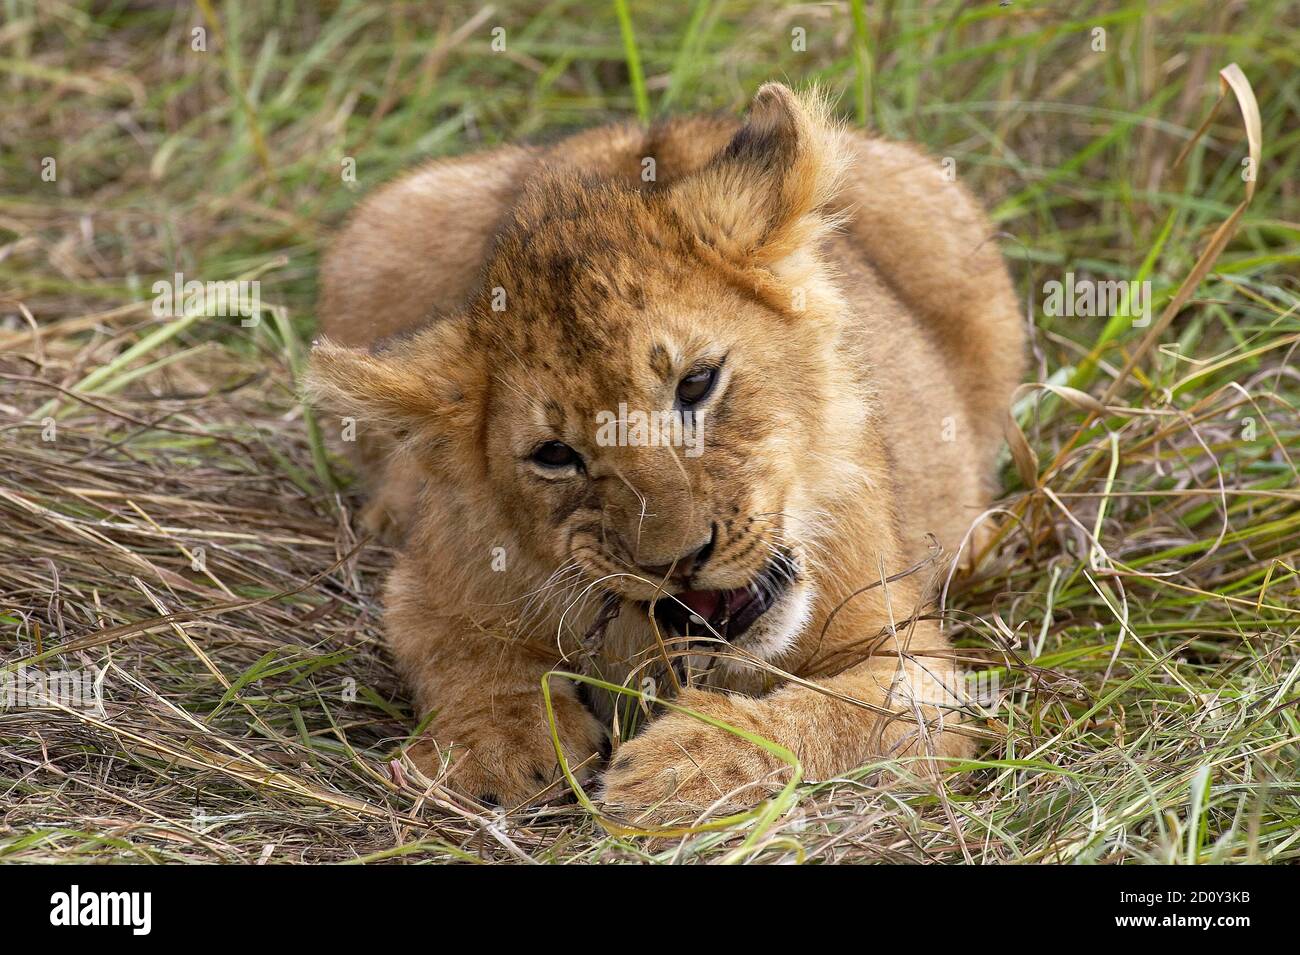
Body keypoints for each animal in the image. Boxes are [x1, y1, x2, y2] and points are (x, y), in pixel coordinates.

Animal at [308, 83, 1023, 815]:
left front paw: (683, 768)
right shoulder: (428, 586)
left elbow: (832, 719)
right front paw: (492, 750)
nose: (678, 561)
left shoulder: (918, 665)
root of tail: (656, 128)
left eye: (697, 383)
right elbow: (466, 660)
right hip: (386, 226)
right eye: (555, 455)